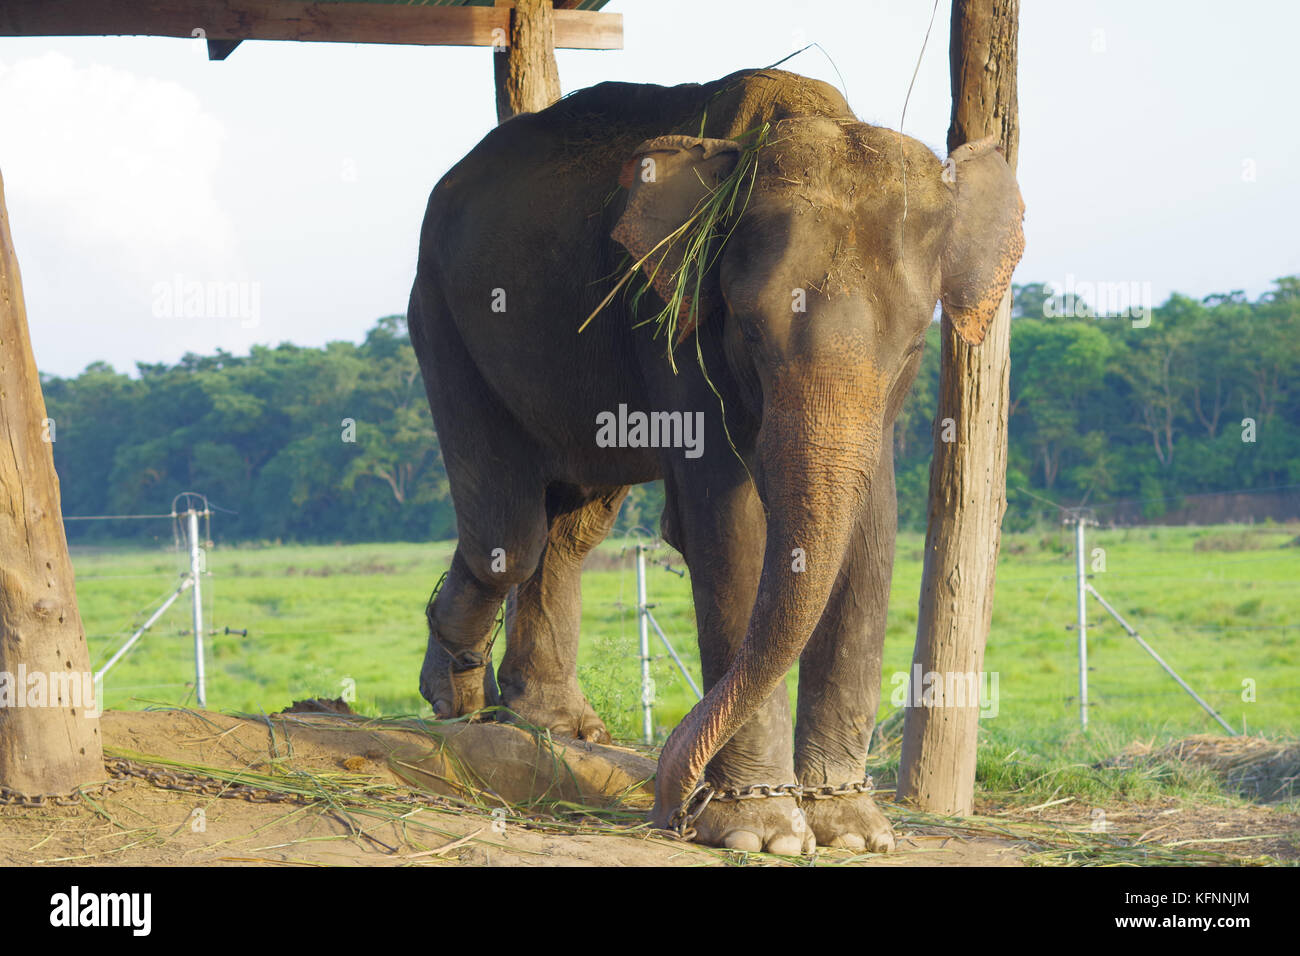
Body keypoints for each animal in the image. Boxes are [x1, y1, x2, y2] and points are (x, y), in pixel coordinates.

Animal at [407, 68, 1025, 854]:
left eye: (917, 344)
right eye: (749, 332)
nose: (674, 805)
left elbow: (872, 537)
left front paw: (851, 832)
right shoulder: (669, 321)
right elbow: (726, 528)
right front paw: (762, 831)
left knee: (567, 528)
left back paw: (545, 721)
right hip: (440, 314)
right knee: (510, 535)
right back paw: (456, 700)